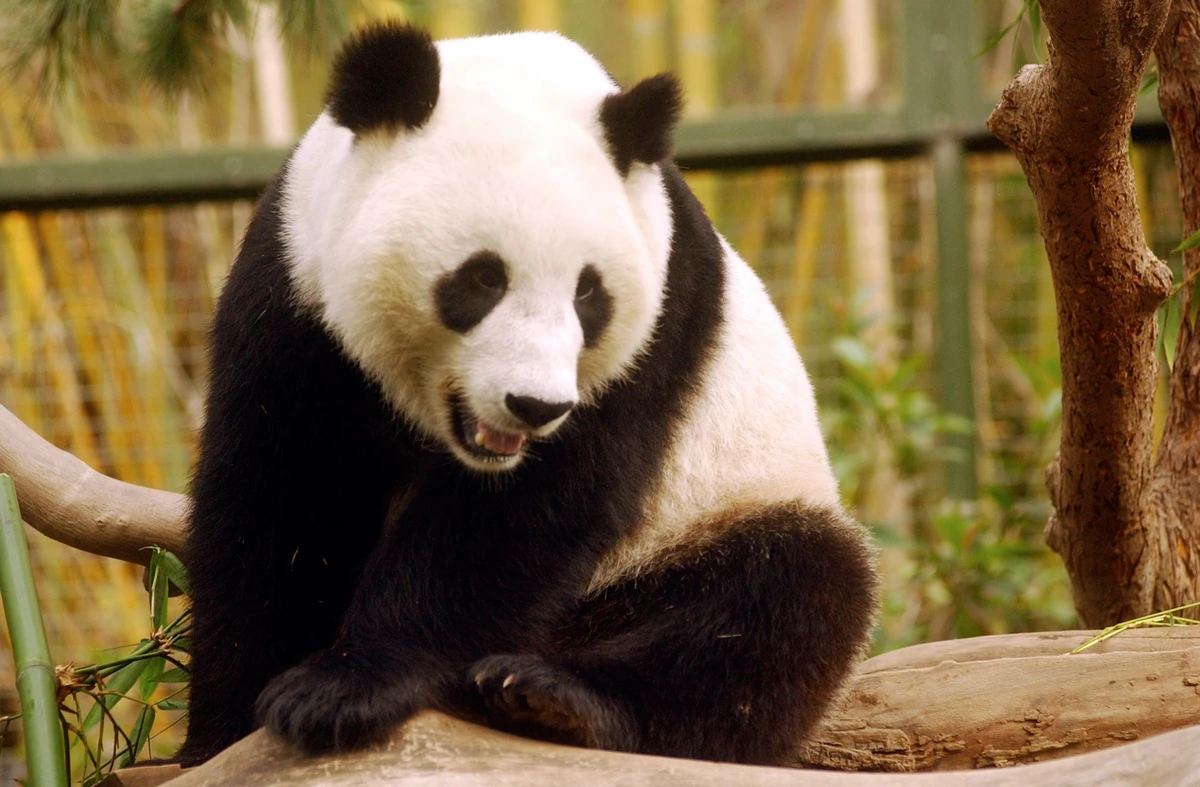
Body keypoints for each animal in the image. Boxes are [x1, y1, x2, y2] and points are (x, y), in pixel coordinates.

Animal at [176, 22, 878, 768]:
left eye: (589, 293)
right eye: (483, 278)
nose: (536, 406)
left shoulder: (658, 318)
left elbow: (524, 514)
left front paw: (343, 687)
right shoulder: (292, 285)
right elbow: (278, 497)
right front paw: (220, 732)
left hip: (705, 522)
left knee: (782, 600)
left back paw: (554, 699)